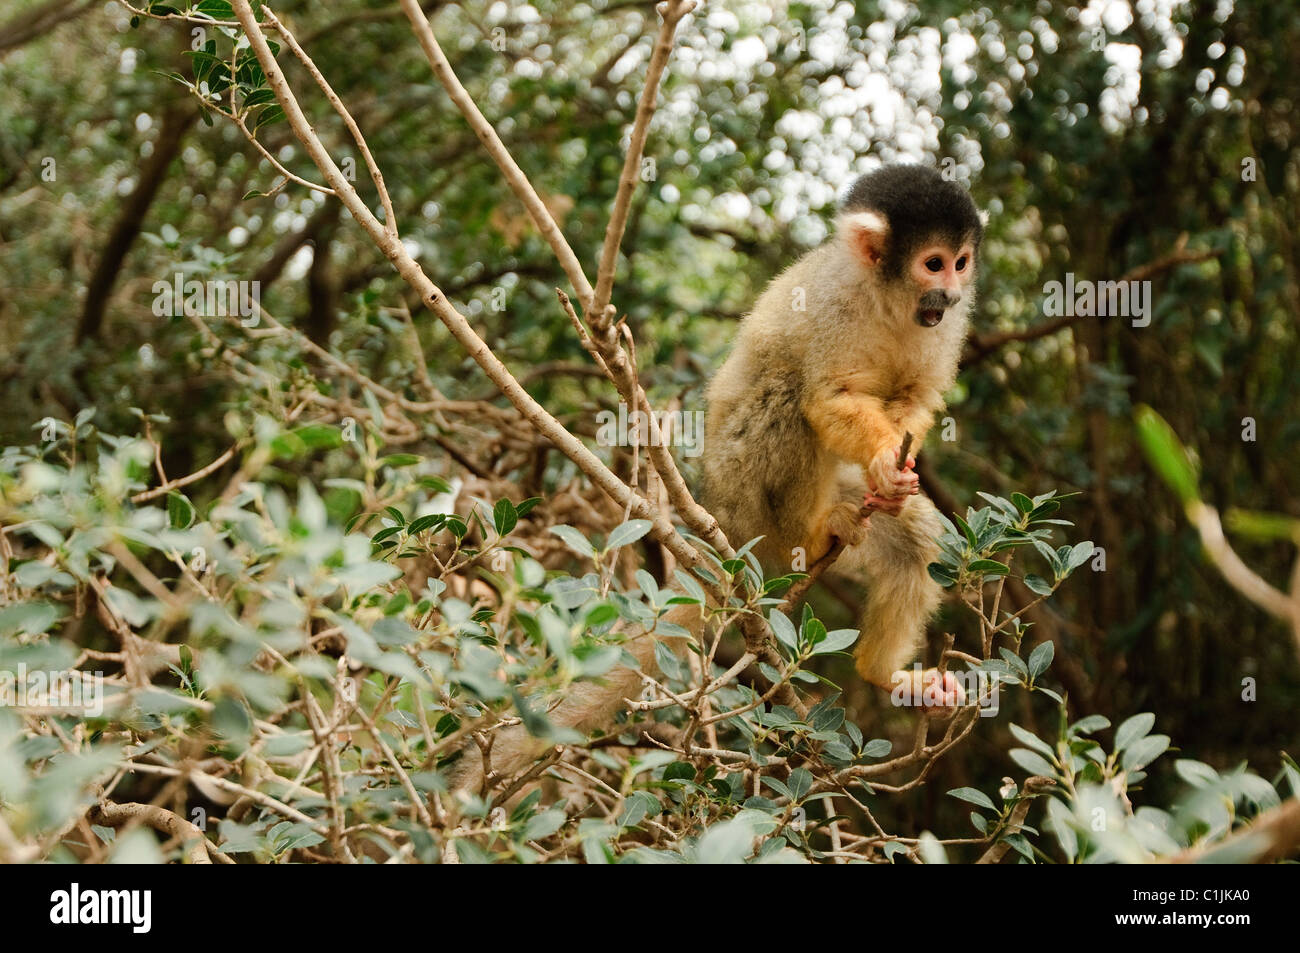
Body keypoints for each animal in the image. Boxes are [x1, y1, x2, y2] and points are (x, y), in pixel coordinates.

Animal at [450, 164, 982, 795]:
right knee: (785, 391)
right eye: (933, 262)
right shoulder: (833, 305)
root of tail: (724, 521)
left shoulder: (944, 328)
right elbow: (826, 399)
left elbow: (916, 400)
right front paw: (882, 456)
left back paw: (881, 672)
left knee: (913, 543)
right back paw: (812, 534)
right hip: (745, 499)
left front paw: (895, 471)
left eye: (961, 262)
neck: (888, 299)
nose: (952, 293)